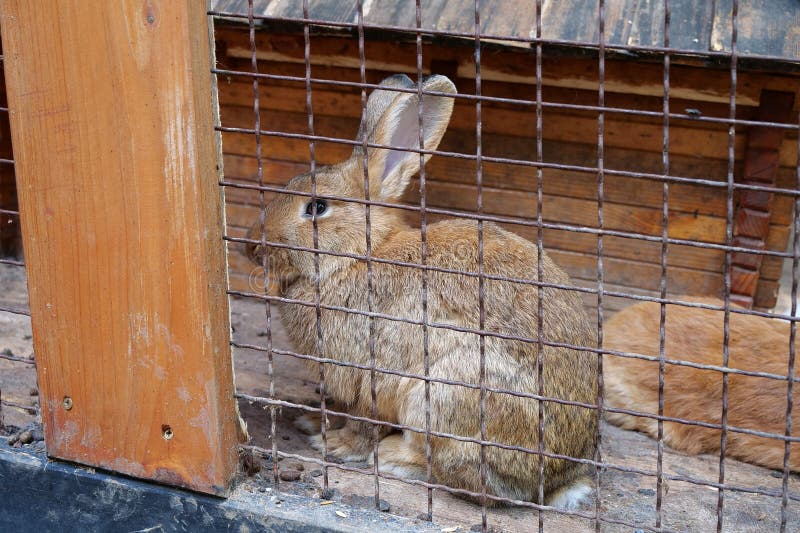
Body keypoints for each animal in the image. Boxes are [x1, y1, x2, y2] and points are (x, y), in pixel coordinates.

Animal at [244, 74, 598, 509]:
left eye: (317, 207)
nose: (252, 246)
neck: (356, 257)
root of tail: (561, 480)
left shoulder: (372, 376)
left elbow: (365, 423)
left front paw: (336, 445)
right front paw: (314, 420)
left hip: (446, 393)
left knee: (471, 478)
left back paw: (394, 456)